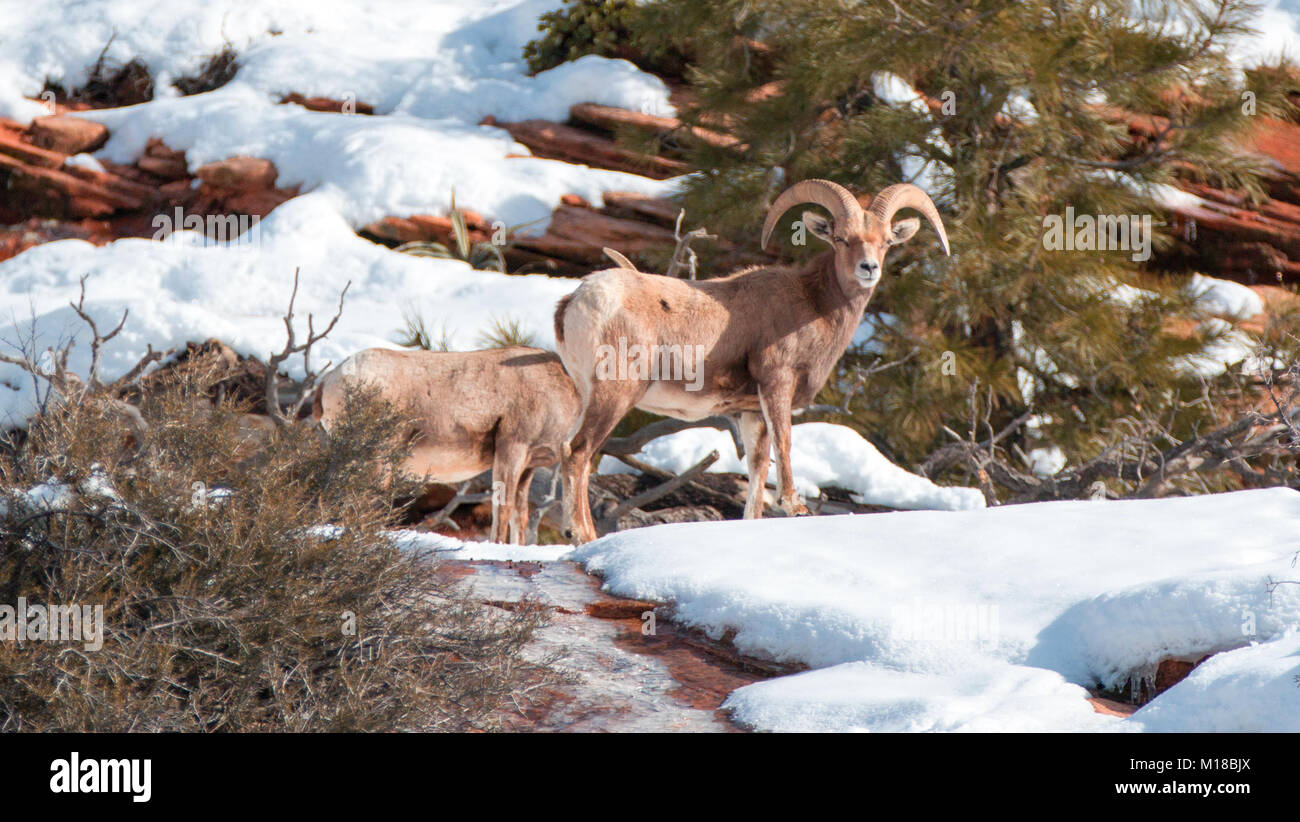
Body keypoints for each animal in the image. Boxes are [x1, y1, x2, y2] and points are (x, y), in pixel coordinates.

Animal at [553, 179, 950, 543]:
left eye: (886, 242)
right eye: (841, 238)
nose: (869, 268)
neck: (815, 305)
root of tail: (576, 301)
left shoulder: (750, 412)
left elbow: (758, 468)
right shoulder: (776, 384)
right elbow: (784, 443)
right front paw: (795, 506)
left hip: (588, 396)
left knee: (567, 449)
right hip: (615, 394)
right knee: (579, 452)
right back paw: (584, 535)